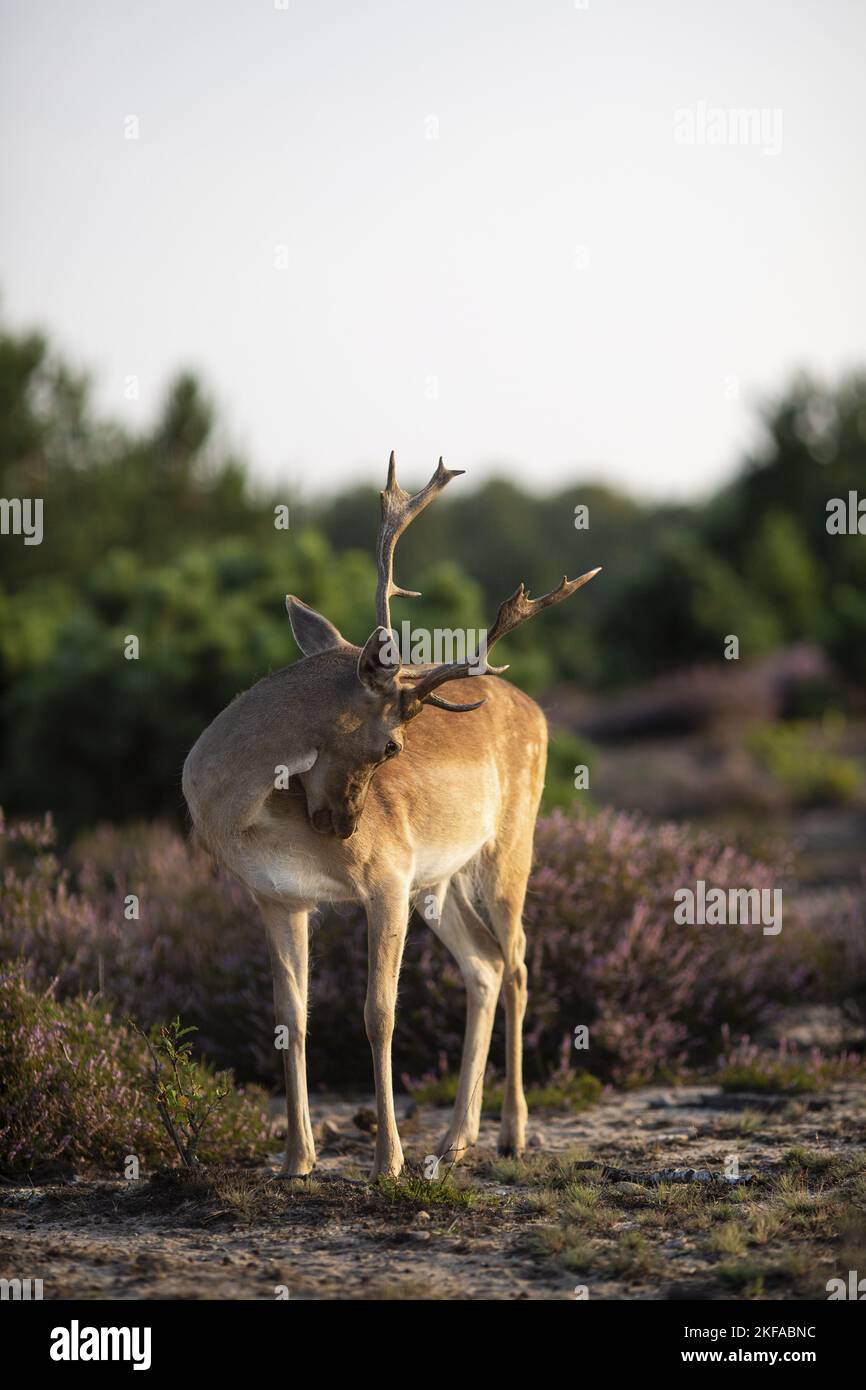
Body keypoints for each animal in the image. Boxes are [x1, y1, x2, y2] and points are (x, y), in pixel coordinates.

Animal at [182, 454, 600, 1179]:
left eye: (392, 750)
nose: (341, 824)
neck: (243, 811)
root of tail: (538, 710)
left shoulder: (387, 876)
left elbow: (379, 1012)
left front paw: (387, 1162)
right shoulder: (275, 897)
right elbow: (291, 1016)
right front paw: (296, 1160)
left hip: (509, 846)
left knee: (518, 959)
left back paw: (513, 1134)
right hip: (441, 880)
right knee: (483, 965)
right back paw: (456, 1137)